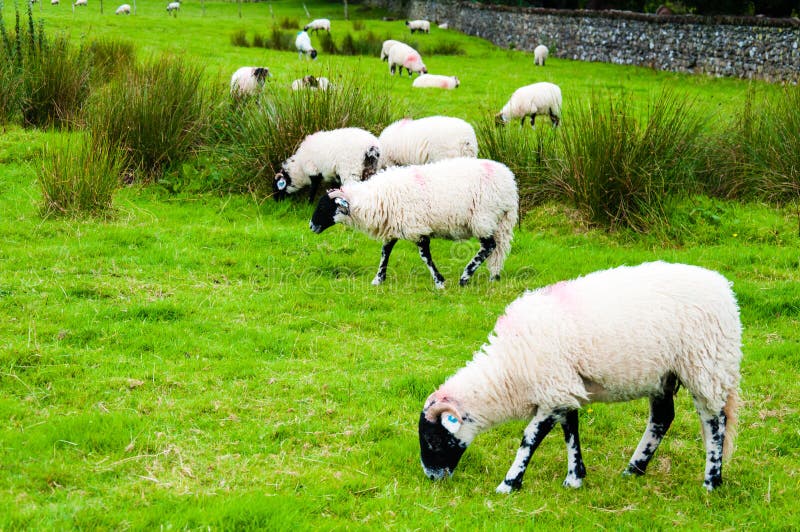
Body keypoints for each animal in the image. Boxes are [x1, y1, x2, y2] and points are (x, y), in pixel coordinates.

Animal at [309, 157, 518, 289]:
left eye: (324, 207)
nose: (311, 226)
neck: (375, 199)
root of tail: (510, 183)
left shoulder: (417, 227)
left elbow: (425, 256)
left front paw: (439, 282)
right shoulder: (394, 226)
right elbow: (385, 252)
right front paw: (378, 279)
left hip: (483, 218)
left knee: (489, 246)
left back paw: (465, 277)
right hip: (498, 221)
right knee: (498, 249)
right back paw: (494, 276)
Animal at [419, 261, 742, 492]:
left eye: (433, 440)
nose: (432, 478)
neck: (509, 371)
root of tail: (725, 289)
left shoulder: (553, 387)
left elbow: (530, 437)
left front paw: (509, 484)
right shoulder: (563, 388)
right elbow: (570, 431)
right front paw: (574, 478)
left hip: (705, 365)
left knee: (715, 422)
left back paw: (711, 481)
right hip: (663, 373)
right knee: (662, 418)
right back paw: (633, 469)